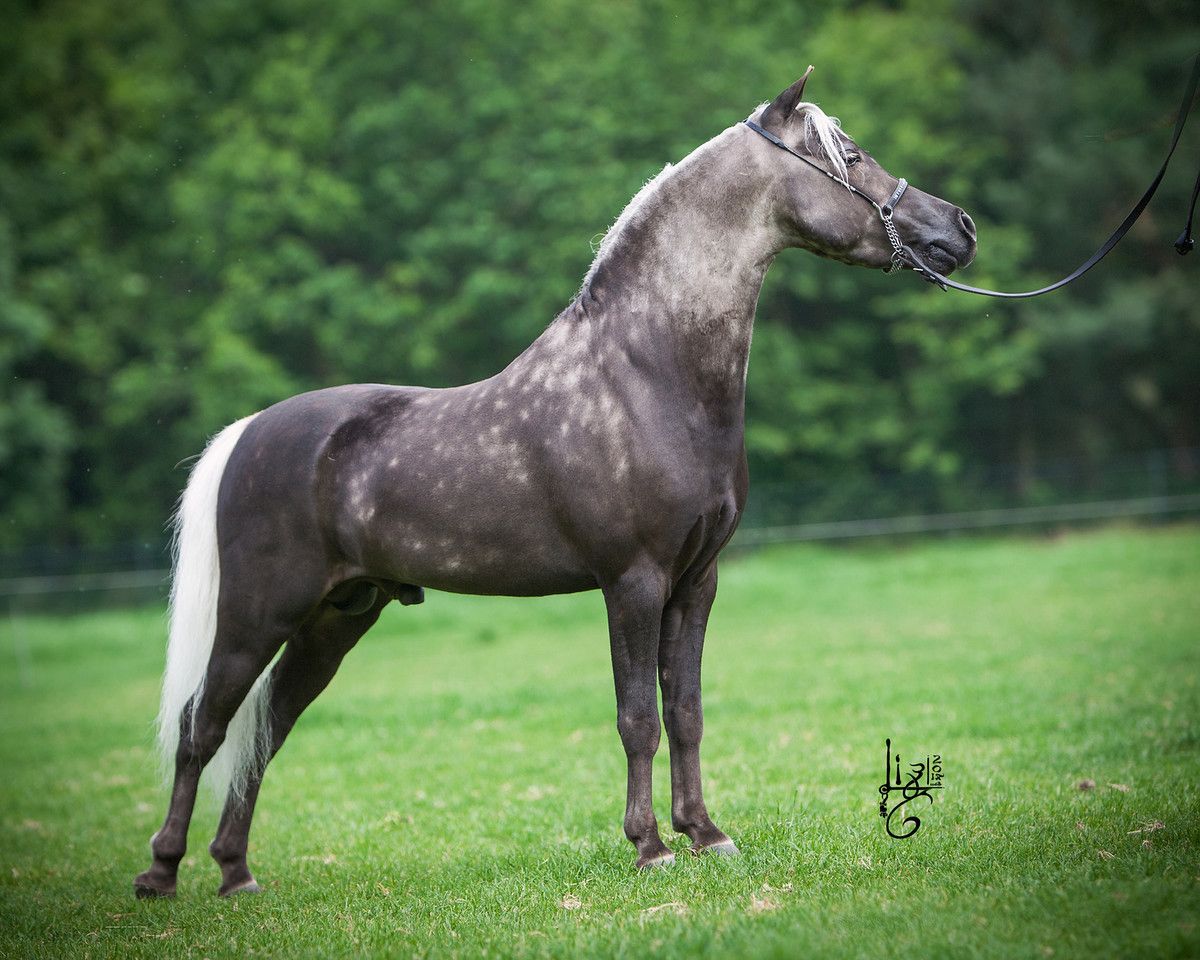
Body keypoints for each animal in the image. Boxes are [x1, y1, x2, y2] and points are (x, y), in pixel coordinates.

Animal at [134, 68, 977, 898]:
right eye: (852, 154)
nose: (959, 227)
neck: (647, 376)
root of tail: (250, 433)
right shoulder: (633, 581)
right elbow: (637, 716)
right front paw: (650, 848)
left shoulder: (695, 581)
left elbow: (686, 711)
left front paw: (706, 835)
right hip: (256, 616)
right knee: (204, 727)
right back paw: (162, 871)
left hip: (335, 618)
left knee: (268, 727)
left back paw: (235, 871)